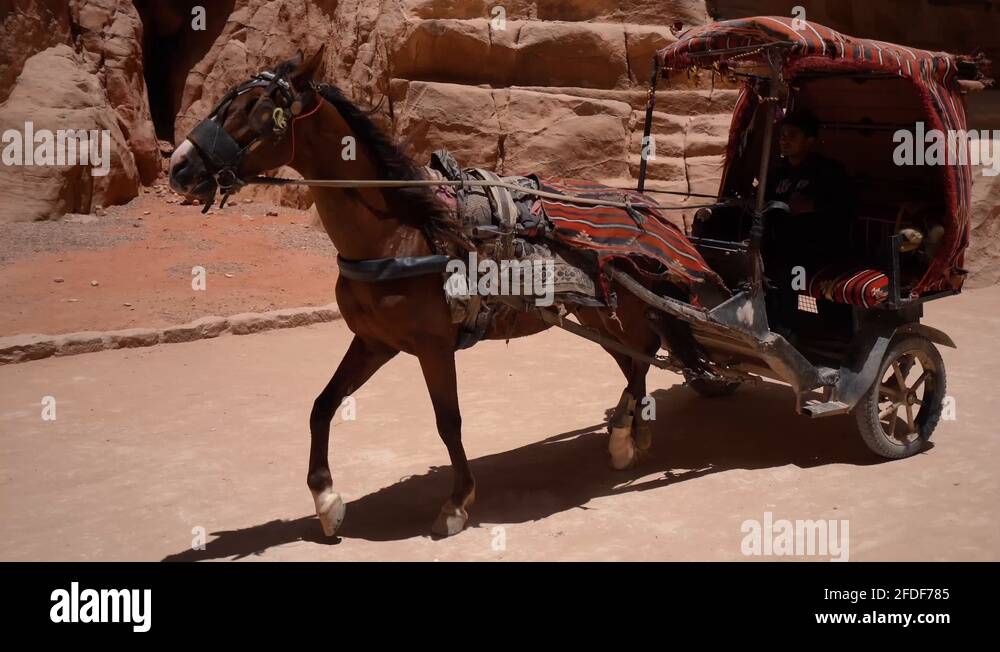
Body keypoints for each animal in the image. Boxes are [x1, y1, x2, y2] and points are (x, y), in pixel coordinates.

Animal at [168, 48, 710, 537]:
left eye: (258, 109)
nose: (179, 166)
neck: (403, 231)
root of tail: (641, 203)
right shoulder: (374, 342)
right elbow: (321, 406)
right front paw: (326, 500)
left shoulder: (433, 347)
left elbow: (449, 422)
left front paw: (456, 502)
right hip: (599, 316)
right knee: (636, 362)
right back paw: (633, 430)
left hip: (621, 311)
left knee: (641, 359)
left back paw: (622, 438)